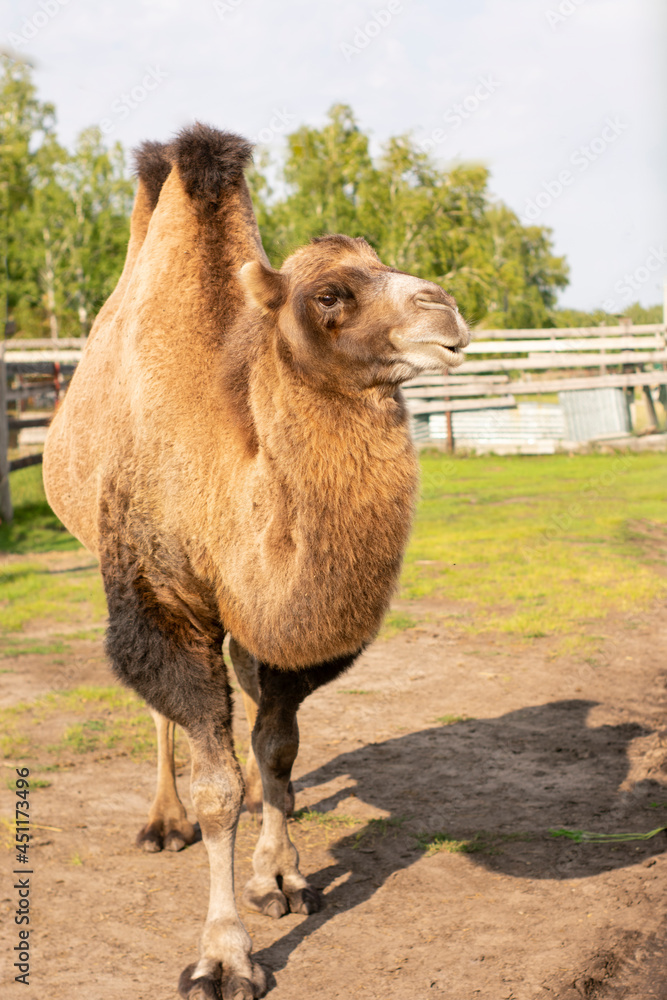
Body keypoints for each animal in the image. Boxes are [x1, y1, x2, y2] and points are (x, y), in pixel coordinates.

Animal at [42, 123, 469, 1000]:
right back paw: (161, 821)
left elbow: (275, 747)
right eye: (330, 295)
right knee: (163, 720)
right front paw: (224, 956)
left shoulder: (271, 624)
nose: (443, 308)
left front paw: (280, 877)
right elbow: (217, 787)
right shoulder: (160, 599)